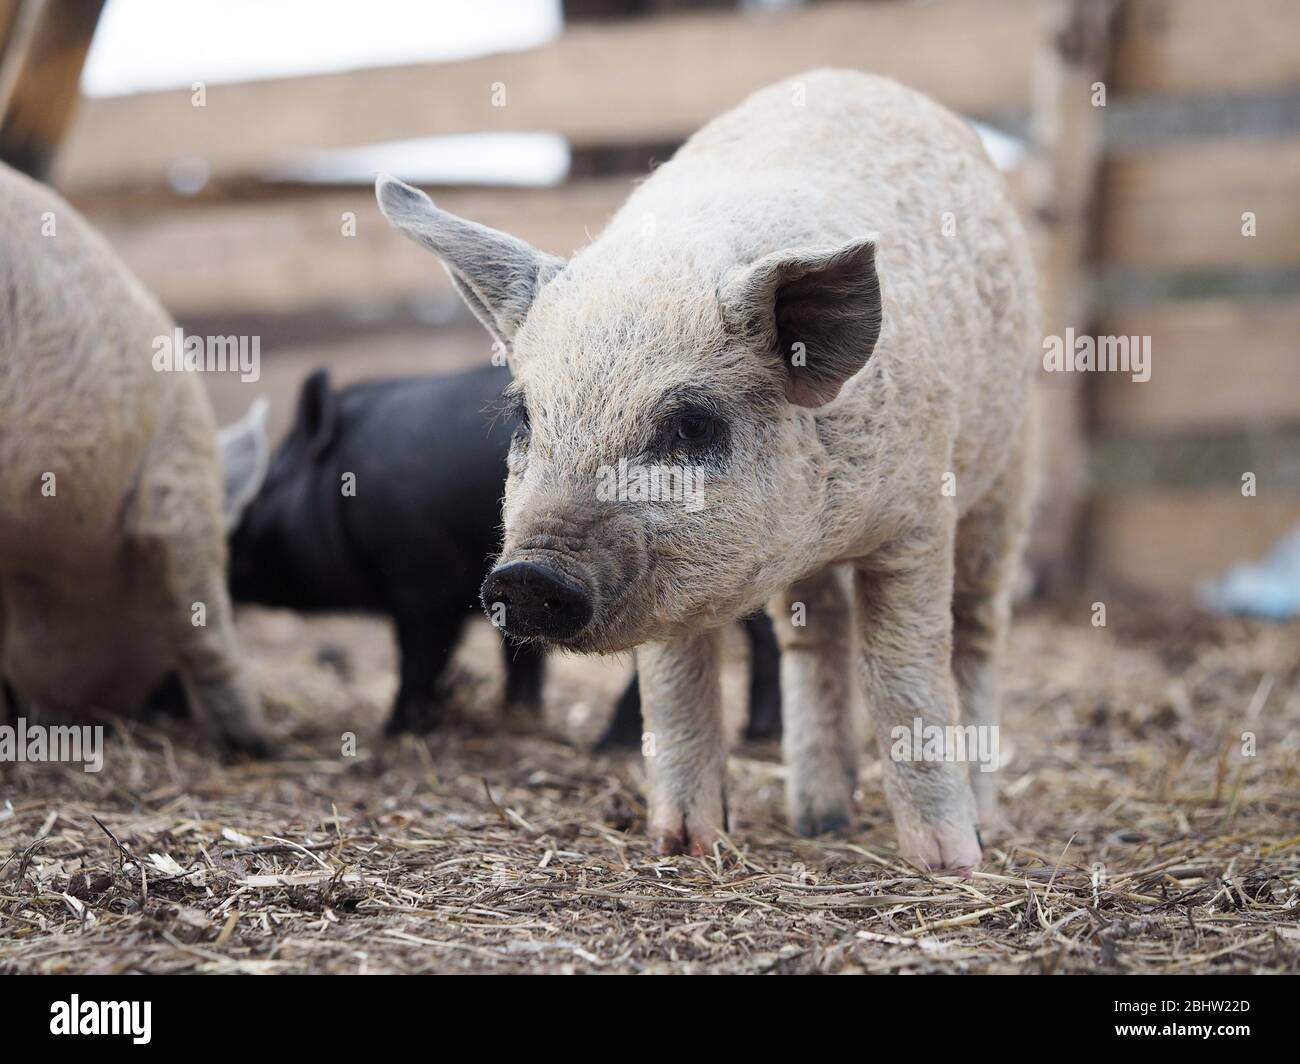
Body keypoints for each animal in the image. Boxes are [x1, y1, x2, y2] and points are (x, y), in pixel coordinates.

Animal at [376, 69, 1037, 872]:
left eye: (691, 425)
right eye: (525, 416)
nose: (528, 574)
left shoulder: (918, 519)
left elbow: (906, 674)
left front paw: (948, 864)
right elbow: (676, 693)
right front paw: (685, 847)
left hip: (1009, 475)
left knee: (977, 629)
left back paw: (987, 824)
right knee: (816, 636)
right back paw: (818, 820)